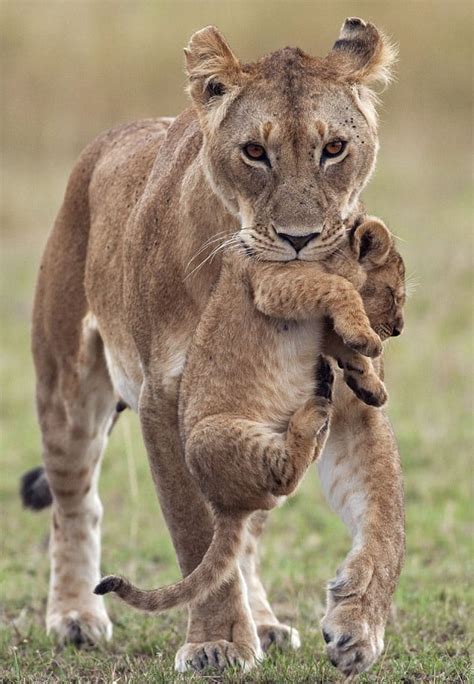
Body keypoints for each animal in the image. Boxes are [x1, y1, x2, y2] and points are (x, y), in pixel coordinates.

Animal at [27, 17, 404, 676]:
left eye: (334, 148)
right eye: (254, 152)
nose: (300, 240)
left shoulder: (353, 398)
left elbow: (385, 519)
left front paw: (359, 626)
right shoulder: (163, 401)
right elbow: (196, 537)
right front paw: (219, 643)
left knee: (248, 518)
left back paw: (269, 622)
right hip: (67, 391)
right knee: (78, 503)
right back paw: (75, 617)